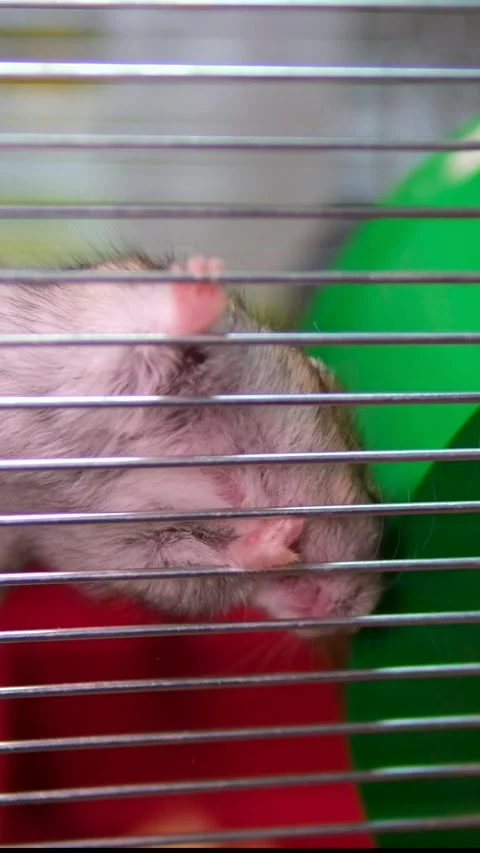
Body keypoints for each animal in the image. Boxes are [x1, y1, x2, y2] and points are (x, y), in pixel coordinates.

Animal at [0, 254, 382, 629]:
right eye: (372, 493)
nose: (358, 617)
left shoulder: (132, 554)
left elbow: (206, 559)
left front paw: (279, 540)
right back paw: (199, 287)